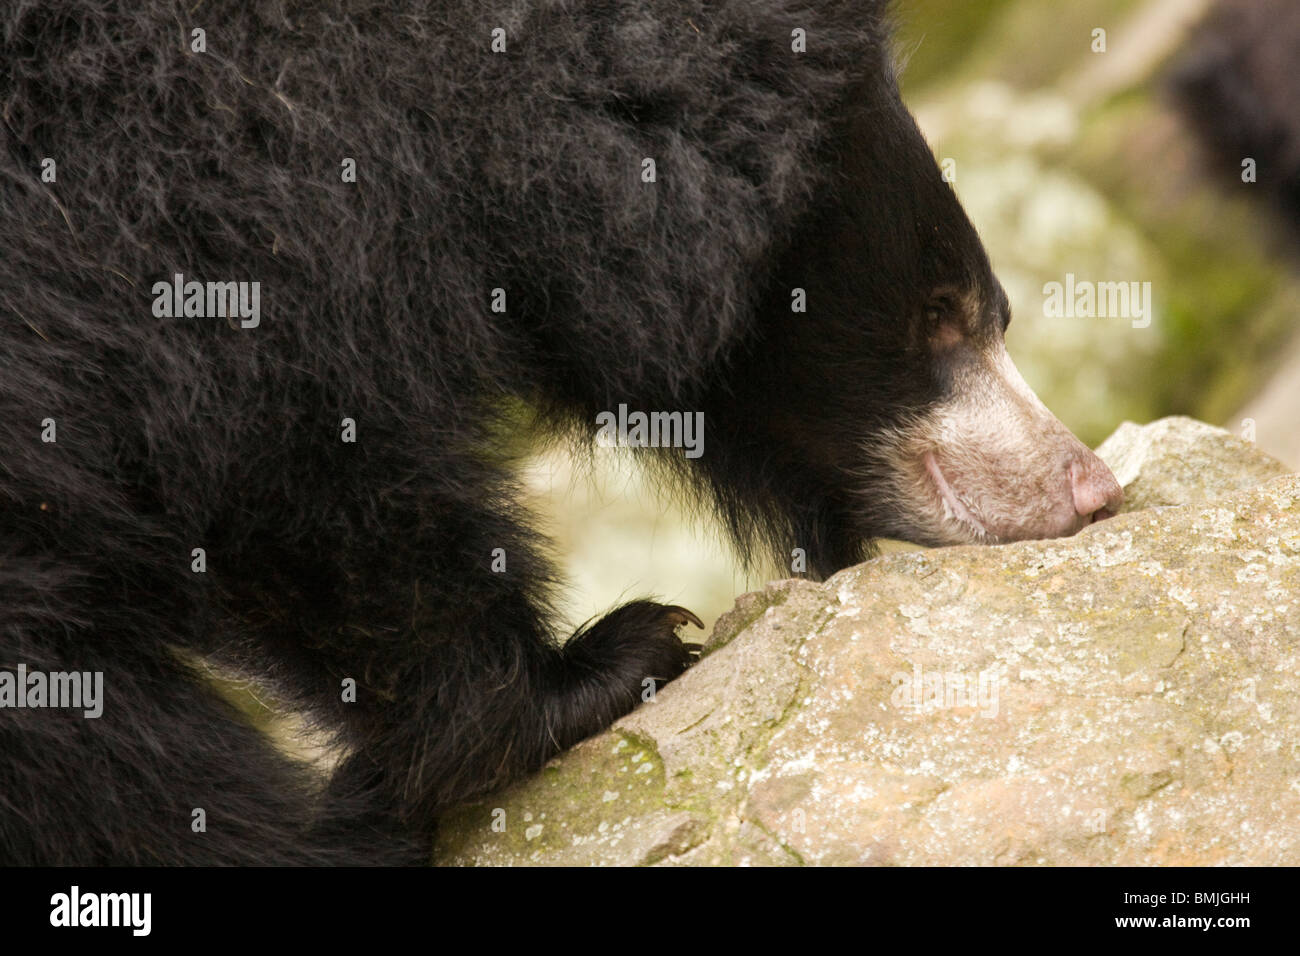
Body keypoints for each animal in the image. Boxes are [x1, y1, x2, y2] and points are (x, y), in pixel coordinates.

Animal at [0, 0, 1122, 865]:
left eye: (993, 312)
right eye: (941, 315)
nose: (1088, 484)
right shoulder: (219, 203)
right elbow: (307, 453)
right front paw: (604, 664)